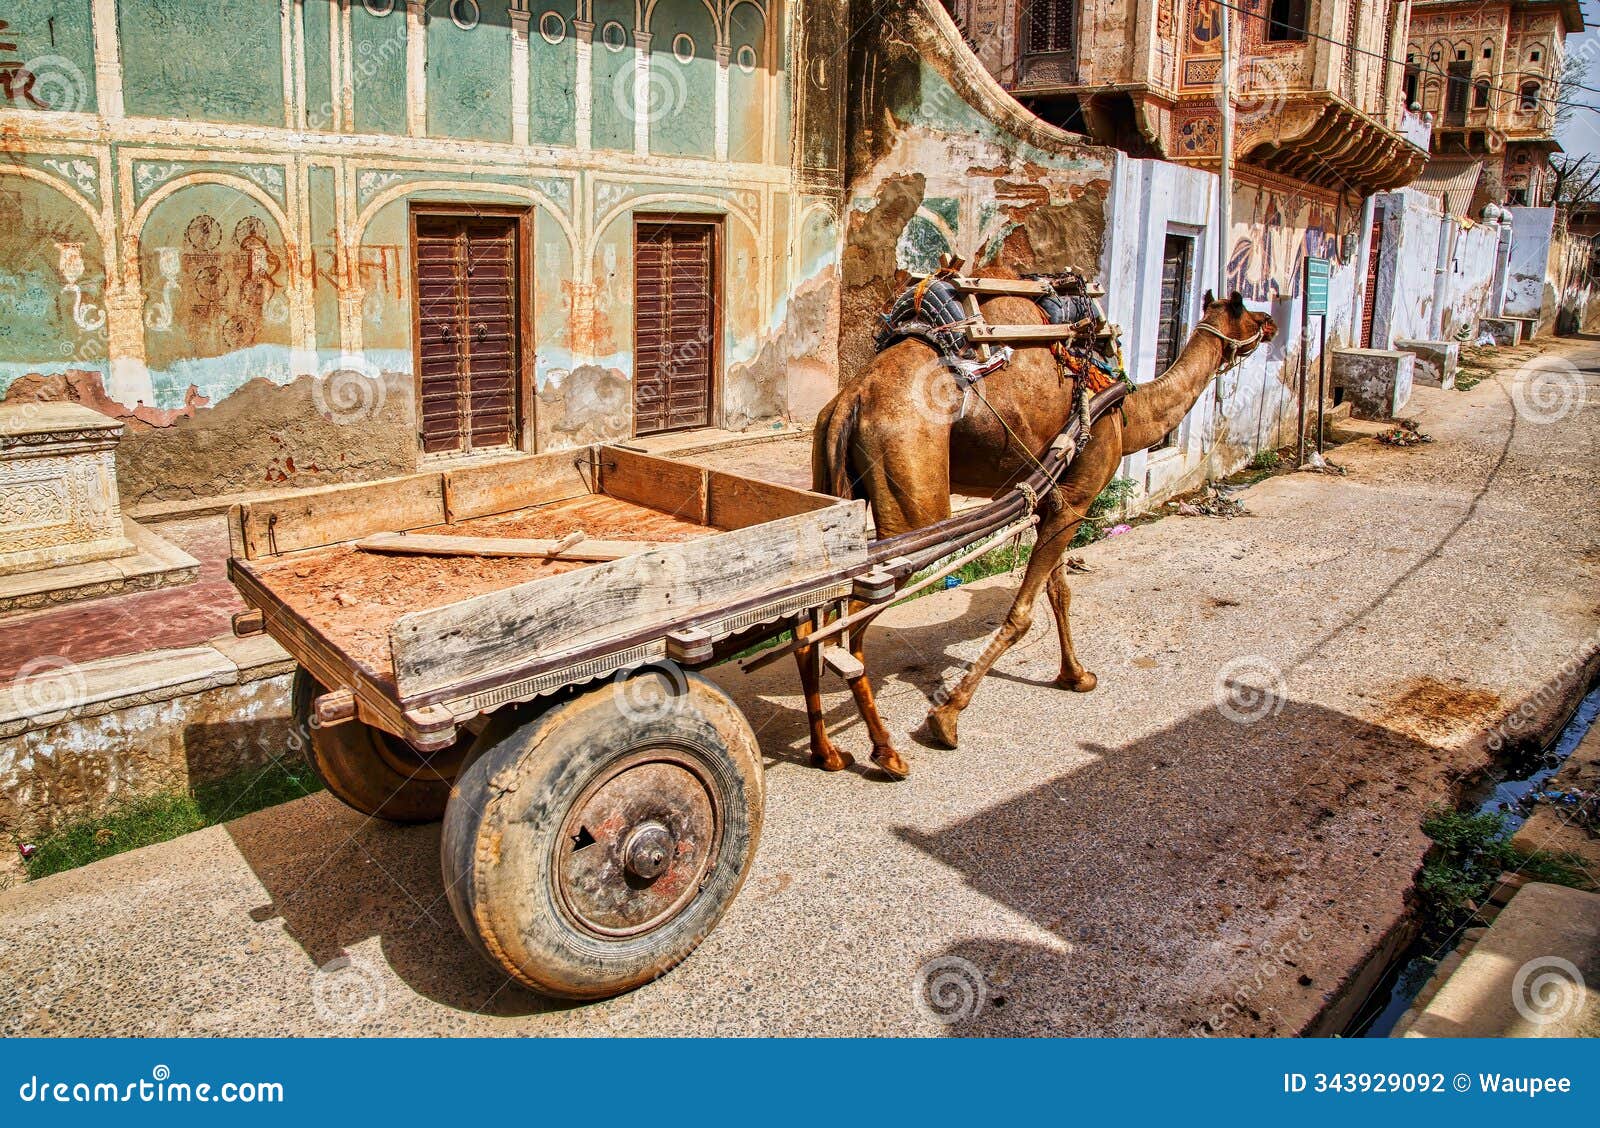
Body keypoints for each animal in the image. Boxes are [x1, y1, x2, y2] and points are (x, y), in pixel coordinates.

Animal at [796, 284, 1278, 779]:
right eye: (1245, 310)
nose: (1271, 323)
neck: (1124, 409)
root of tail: (850, 398)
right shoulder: (1078, 496)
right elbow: (1024, 612)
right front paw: (946, 719)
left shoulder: (1056, 498)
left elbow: (1059, 592)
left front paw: (1077, 675)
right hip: (913, 490)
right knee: (842, 625)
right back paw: (887, 752)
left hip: (831, 484)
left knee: (810, 620)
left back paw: (828, 752)